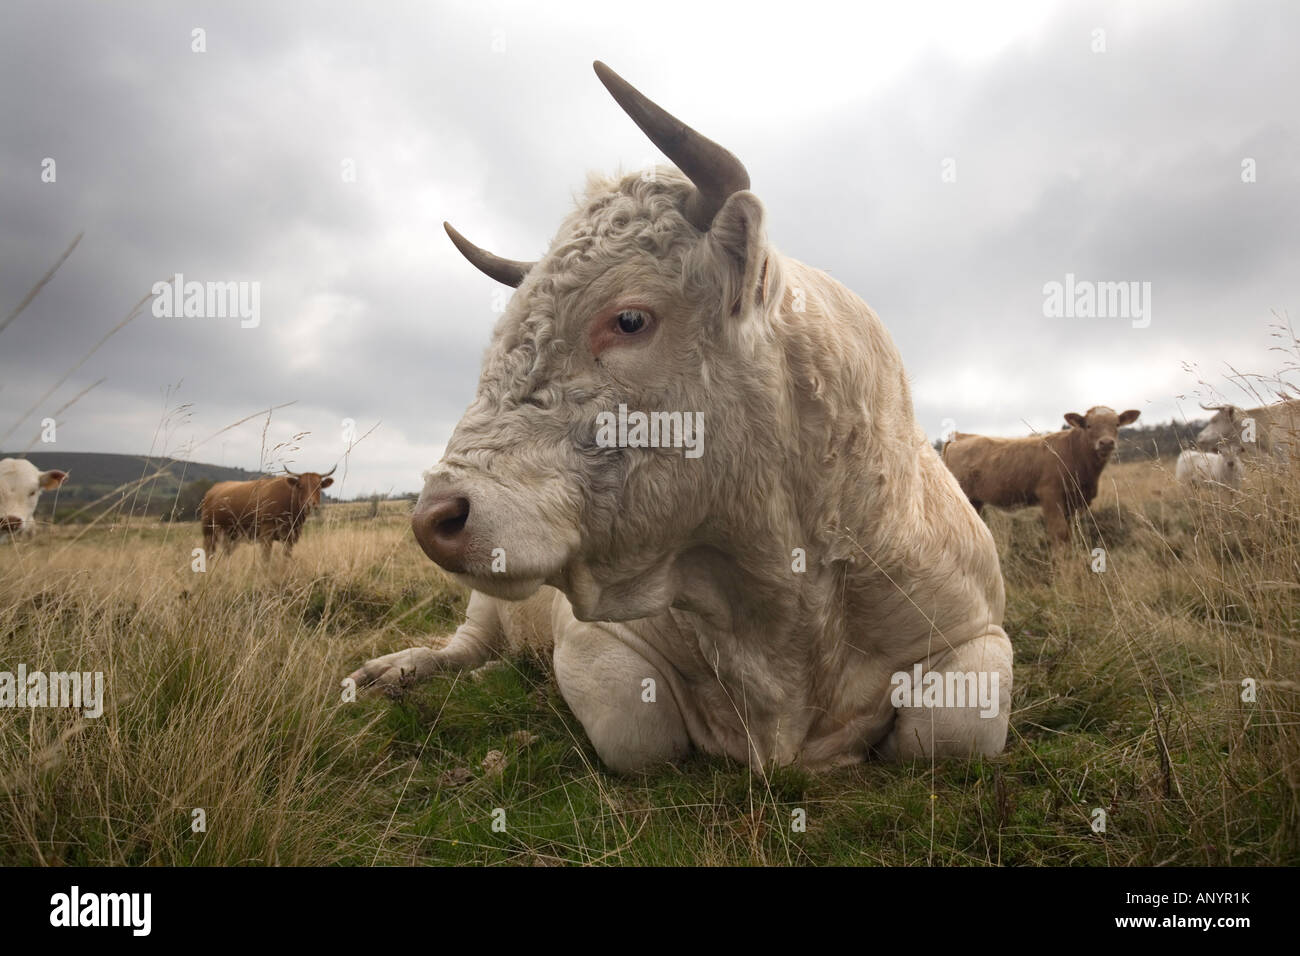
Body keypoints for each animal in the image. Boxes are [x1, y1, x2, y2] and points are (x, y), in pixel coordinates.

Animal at [200, 465, 334, 557]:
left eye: (319, 486)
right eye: (300, 486)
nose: (310, 504)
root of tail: (211, 491)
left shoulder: (290, 538)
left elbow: (286, 558)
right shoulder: (266, 536)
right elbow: (266, 559)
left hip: (229, 535)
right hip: (209, 532)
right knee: (209, 553)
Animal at [348, 61, 1012, 773]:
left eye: (629, 319)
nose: (434, 517)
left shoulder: (980, 635)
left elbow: (948, 733)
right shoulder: (595, 643)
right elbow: (638, 730)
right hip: (485, 607)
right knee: (460, 649)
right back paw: (397, 674)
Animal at [941, 406, 1141, 543]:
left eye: (1116, 424)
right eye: (1089, 425)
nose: (1106, 443)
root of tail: (960, 436)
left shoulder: (1072, 502)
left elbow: (1069, 535)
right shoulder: (1050, 495)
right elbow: (1059, 534)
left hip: (975, 501)